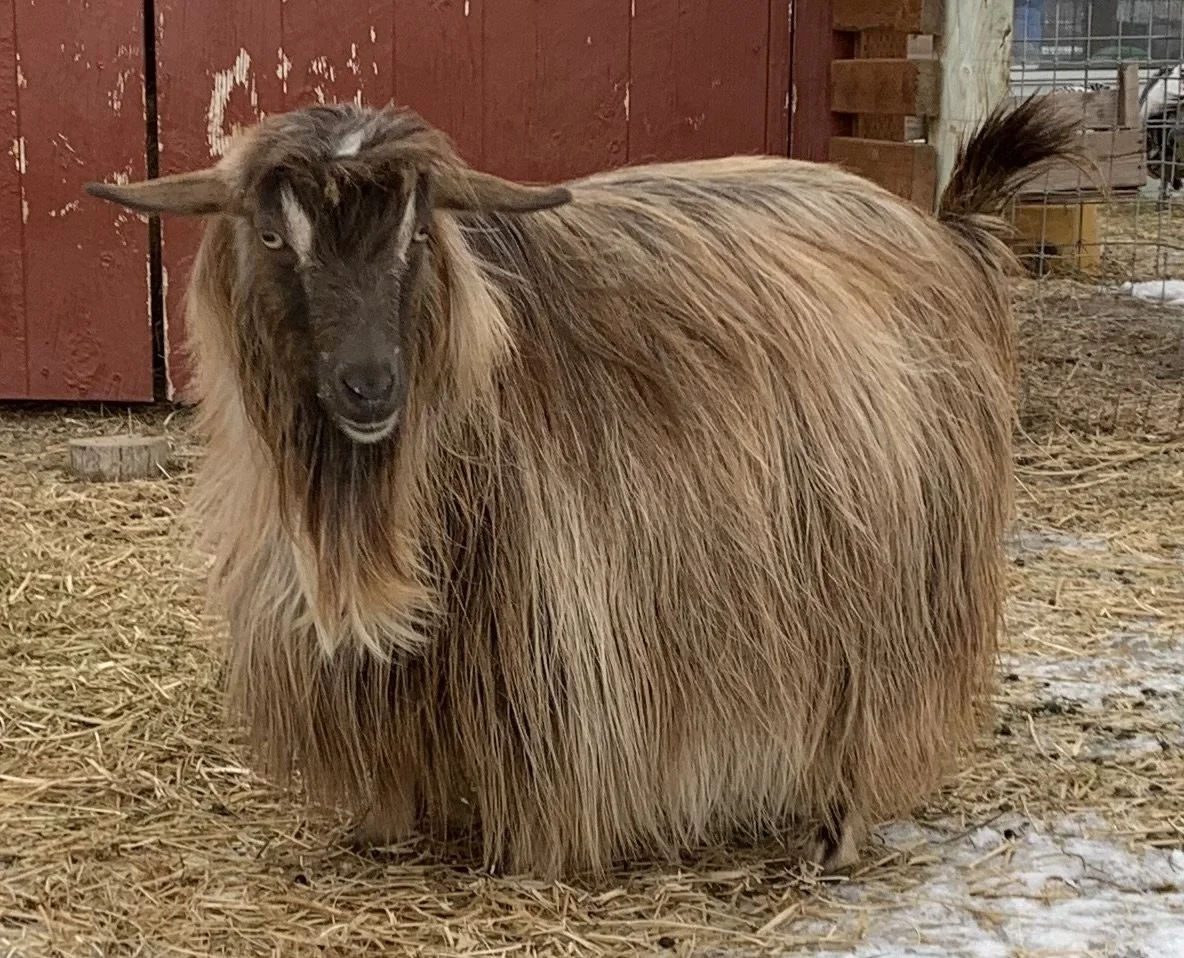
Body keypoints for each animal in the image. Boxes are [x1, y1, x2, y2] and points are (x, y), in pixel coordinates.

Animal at [85, 97, 1077, 880]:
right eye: (269, 235)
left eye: (417, 233)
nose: (370, 386)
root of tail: (940, 233)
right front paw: (386, 823)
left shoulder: (553, 618)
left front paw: (532, 855)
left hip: (891, 571)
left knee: (863, 700)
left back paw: (834, 836)